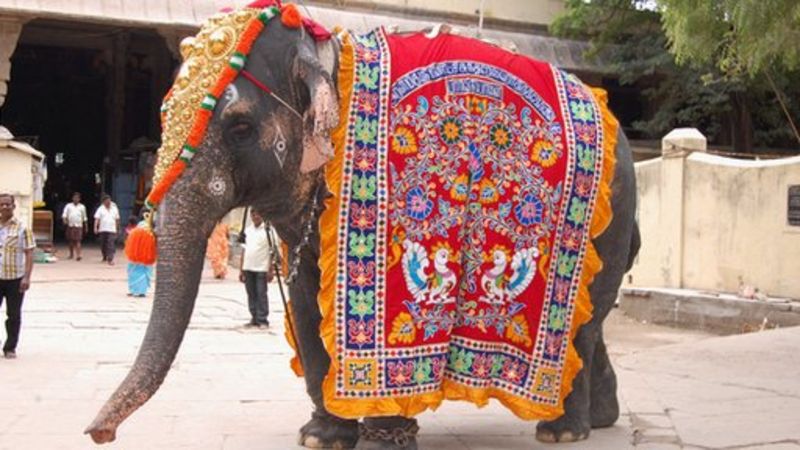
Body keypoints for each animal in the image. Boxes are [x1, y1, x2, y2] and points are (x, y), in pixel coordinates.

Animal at [86, 4, 640, 449]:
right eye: (164, 115)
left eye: (240, 127)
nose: (99, 433)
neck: (329, 50)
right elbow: (307, 302)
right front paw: (321, 438)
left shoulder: (396, 195)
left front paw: (382, 437)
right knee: (591, 321)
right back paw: (601, 418)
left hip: (609, 214)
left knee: (585, 322)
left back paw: (562, 431)